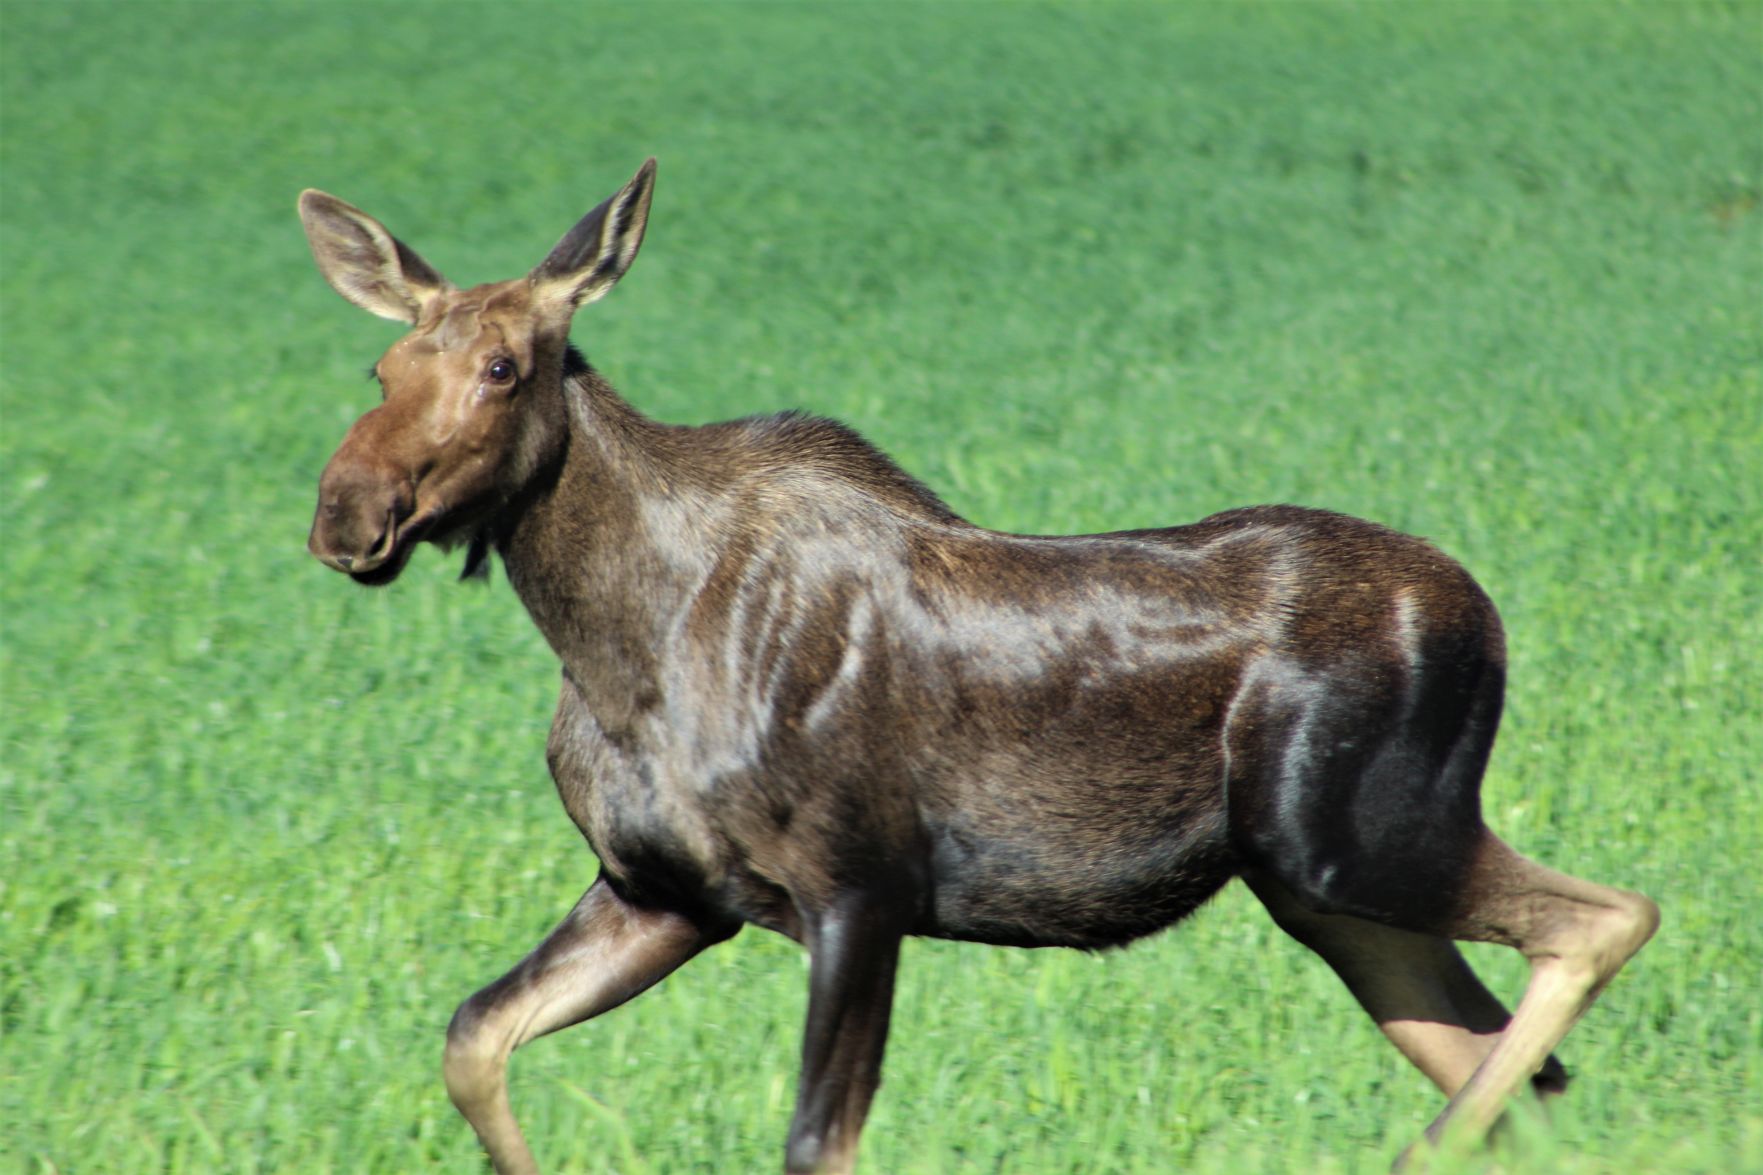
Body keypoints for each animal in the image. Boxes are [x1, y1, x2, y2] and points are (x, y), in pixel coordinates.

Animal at [297, 159, 1658, 1174]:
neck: (614, 643)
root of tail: (1486, 618)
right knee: (1525, 1067)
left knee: (1603, 923)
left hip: (1351, 835)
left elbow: (815, 1139)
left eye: (502, 366)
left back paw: (1419, 1144)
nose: (346, 510)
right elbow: (473, 1035)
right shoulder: (661, 890)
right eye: (380, 367)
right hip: (1322, 892)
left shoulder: (861, 882)